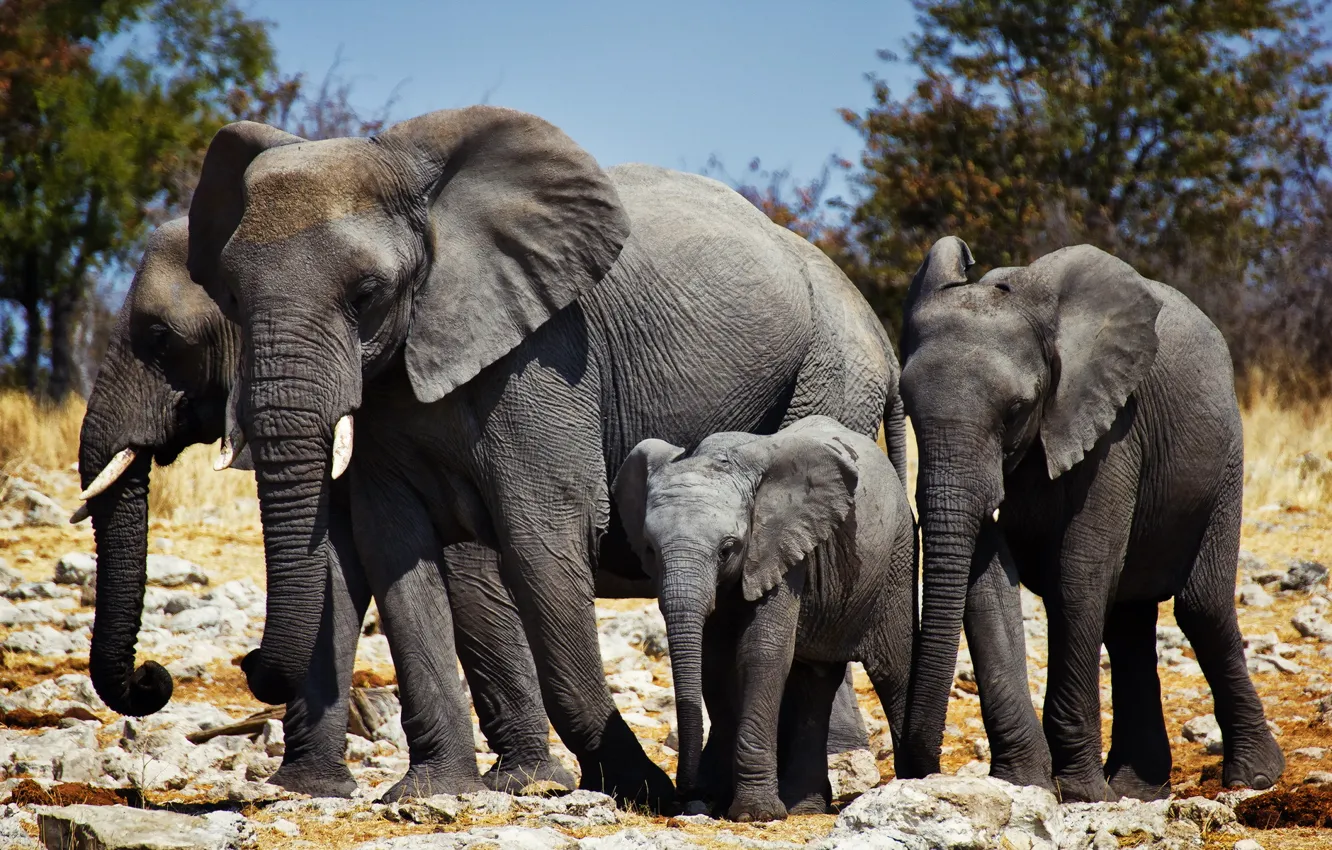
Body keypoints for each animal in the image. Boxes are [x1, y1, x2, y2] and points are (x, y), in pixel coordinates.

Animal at [76, 218, 575, 800]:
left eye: (161, 337)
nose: (150, 677)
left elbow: (460, 570)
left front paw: (528, 783)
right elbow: (335, 563)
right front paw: (306, 787)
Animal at [612, 416, 916, 822]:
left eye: (727, 550)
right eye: (649, 549)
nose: (683, 793)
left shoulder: (781, 550)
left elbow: (761, 653)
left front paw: (756, 814)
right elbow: (715, 661)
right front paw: (717, 799)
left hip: (896, 558)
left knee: (893, 672)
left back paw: (916, 785)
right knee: (814, 681)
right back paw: (805, 807)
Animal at [896, 236, 1286, 802]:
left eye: (1017, 409)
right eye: (905, 405)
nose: (918, 770)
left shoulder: (1114, 426)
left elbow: (1079, 572)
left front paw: (1079, 795)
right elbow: (986, 580)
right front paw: (1024, 785)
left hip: (1225, 460)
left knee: (1201, 607)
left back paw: (1252, 778)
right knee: (1128, 622)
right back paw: (1137, 791)